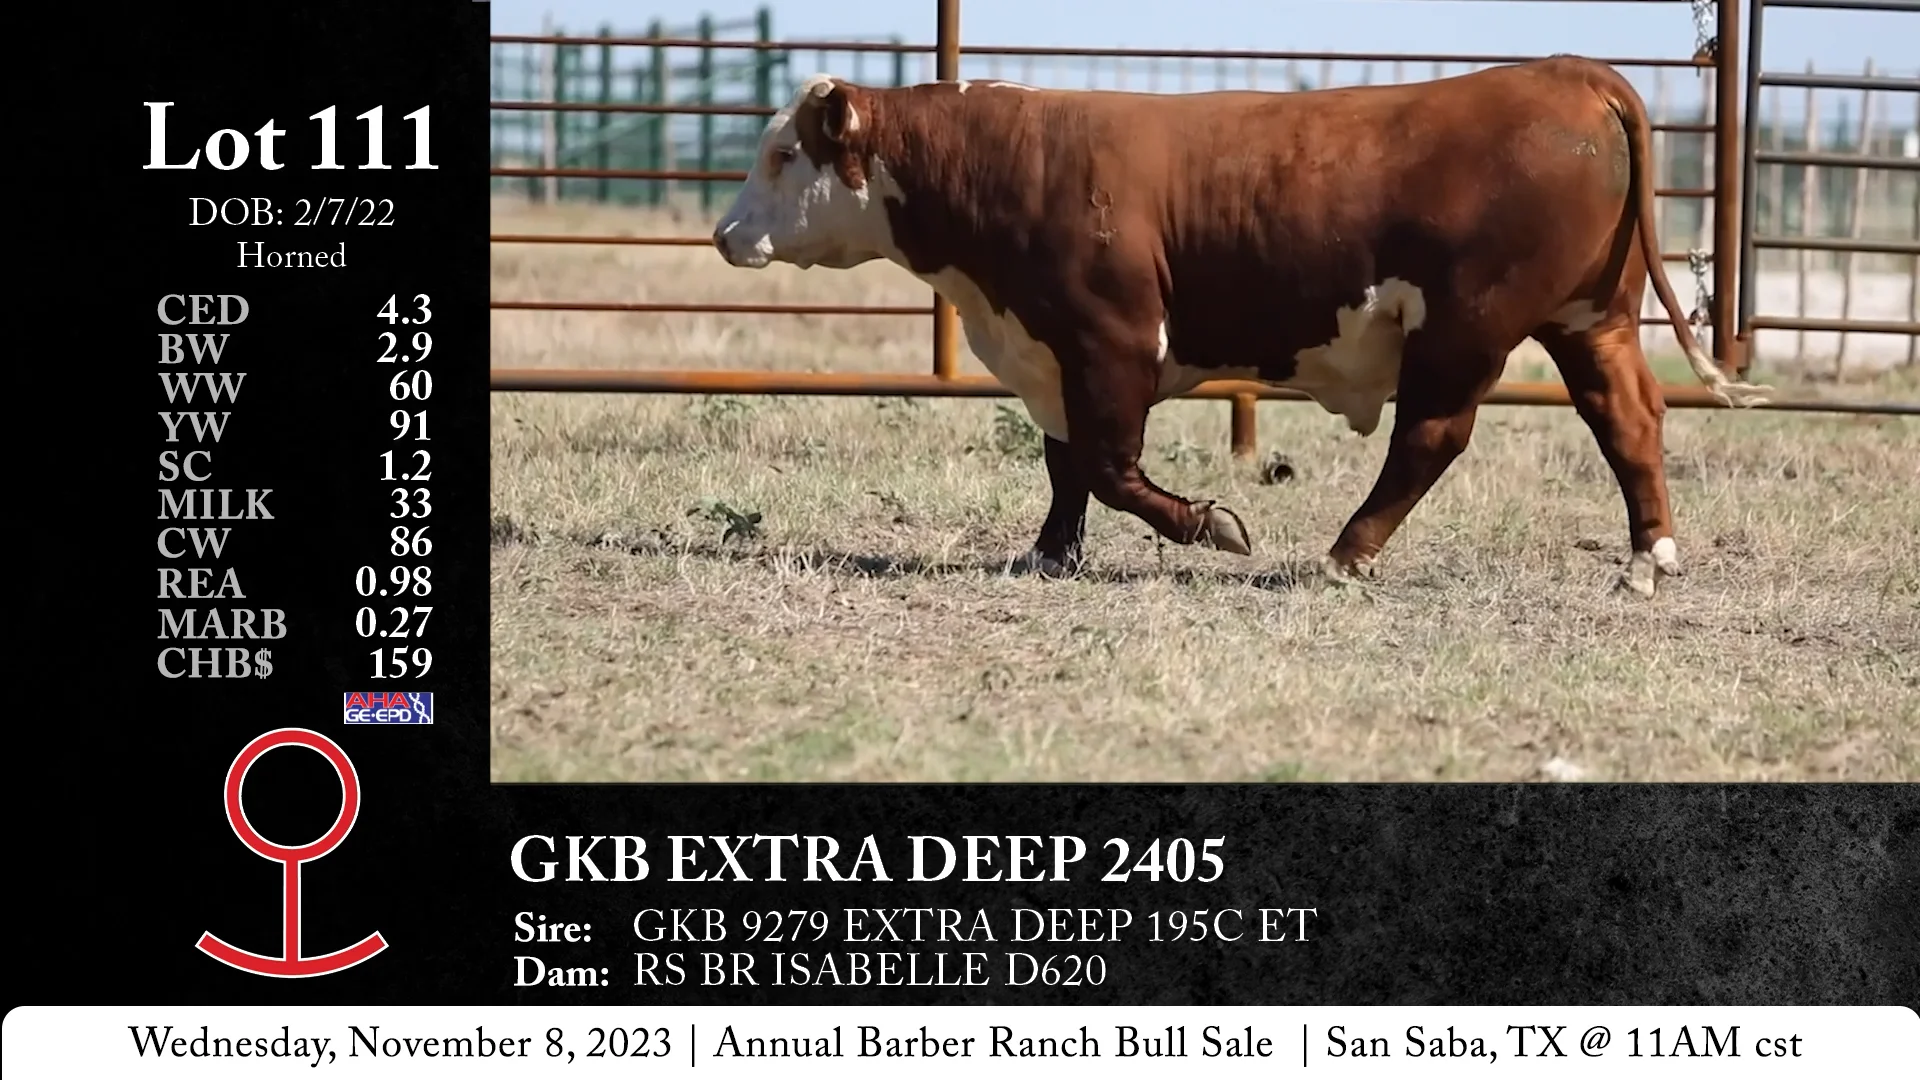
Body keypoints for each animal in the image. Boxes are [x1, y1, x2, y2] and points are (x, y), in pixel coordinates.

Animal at [710, 57, 1771, 597]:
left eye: (781, 152)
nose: (723, 234)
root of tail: (1567, 72)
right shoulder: (1050, 353)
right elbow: (1064, 463)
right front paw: (1050, 553)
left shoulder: (1110, 339)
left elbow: (1108, 464)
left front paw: (1211, 526)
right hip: (1592, 315)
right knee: (1626, 417)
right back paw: (1648, 558)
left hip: (1466, 325)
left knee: (1433, 436)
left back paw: (1347, 552)